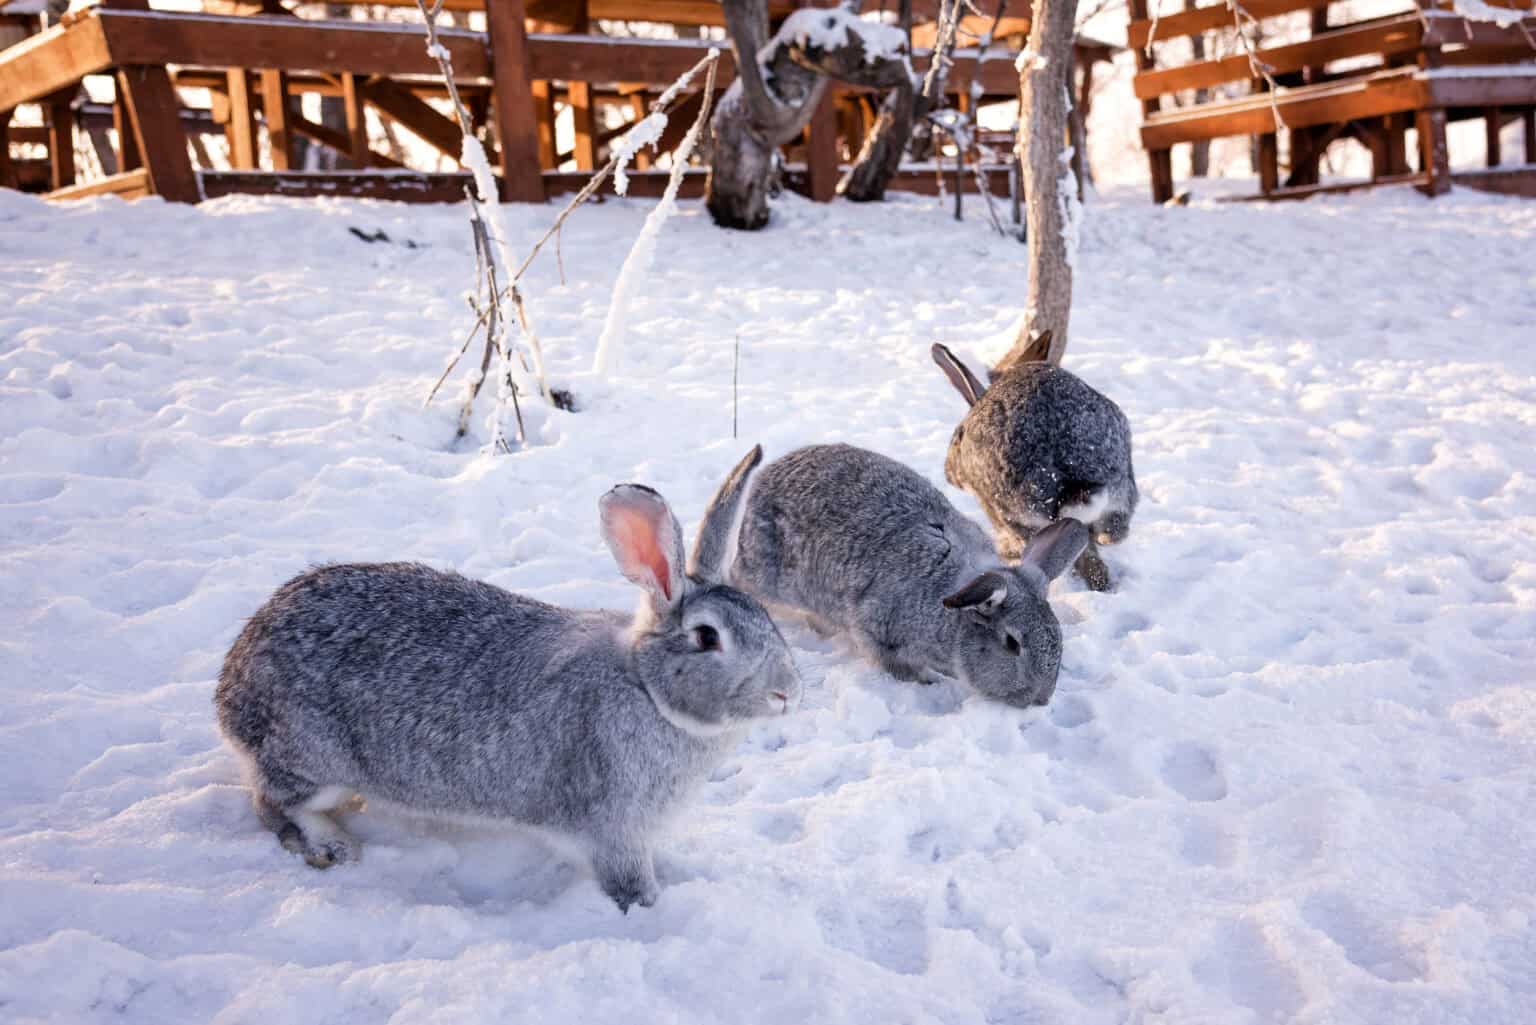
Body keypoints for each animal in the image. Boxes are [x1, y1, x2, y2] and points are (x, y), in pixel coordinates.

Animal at [215, 445, 801, 913]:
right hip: (311, 758)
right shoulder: (614, 830)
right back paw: (332, 847)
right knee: (274, 803)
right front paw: (648, 910)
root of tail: (231, 684)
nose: (788, 691)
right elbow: (628, 883)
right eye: (706, 637)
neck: (646, 688)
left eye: (765, 620)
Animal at [732, 443, 1088, 709]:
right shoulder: (877, 630)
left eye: (1057, 639)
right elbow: (895, 665)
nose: (1040, 699)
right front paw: (929, 682)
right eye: (1012, 644)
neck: (953, 621)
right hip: (768, 575)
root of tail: (765, 478)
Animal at [931, 334, 1138, 592]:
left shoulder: (989, 505)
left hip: (1019, 511)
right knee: (1107, 538)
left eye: (957, 437)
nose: (948, 473)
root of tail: (1069, 473)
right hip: (1121, 482)